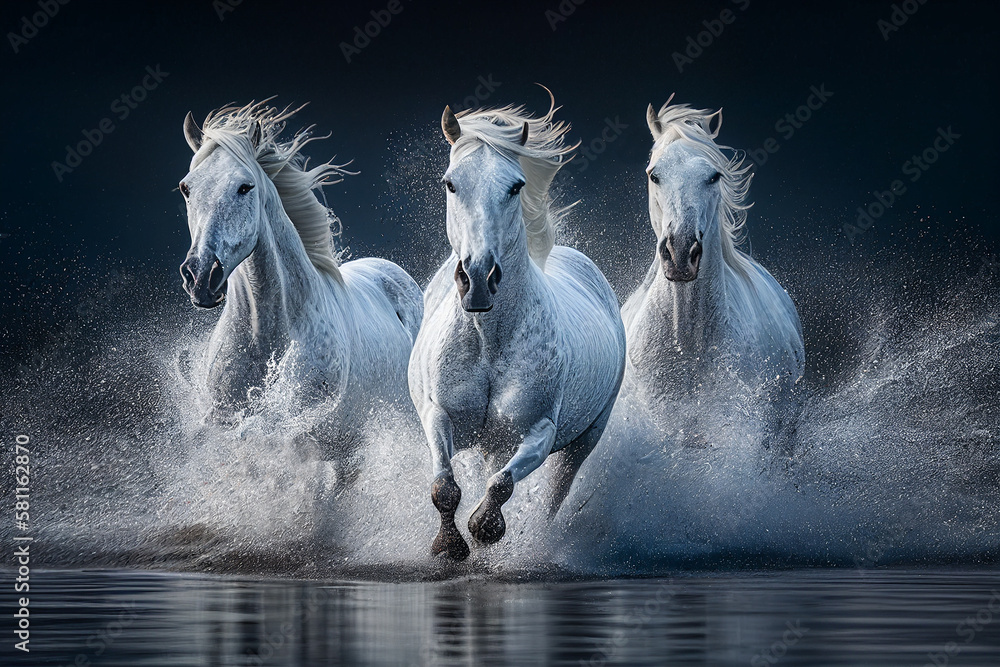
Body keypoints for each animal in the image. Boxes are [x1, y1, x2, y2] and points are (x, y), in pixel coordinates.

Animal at [178, 101, 423, 465]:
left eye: (245, 186)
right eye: (186, 188)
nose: (200, 277)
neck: (265, 335)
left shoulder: (301, 423)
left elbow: (256, 432)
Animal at [408, 93, 627, 561]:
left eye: (515, 186)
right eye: (450, 183)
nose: (478, 278)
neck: (489, 340)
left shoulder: (538, 432)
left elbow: (501, 487)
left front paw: (482, 530)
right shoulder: (438, 415)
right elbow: (445, 487)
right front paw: (449, 545)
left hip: (580, 442)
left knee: (553, 495)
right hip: (487, 444)